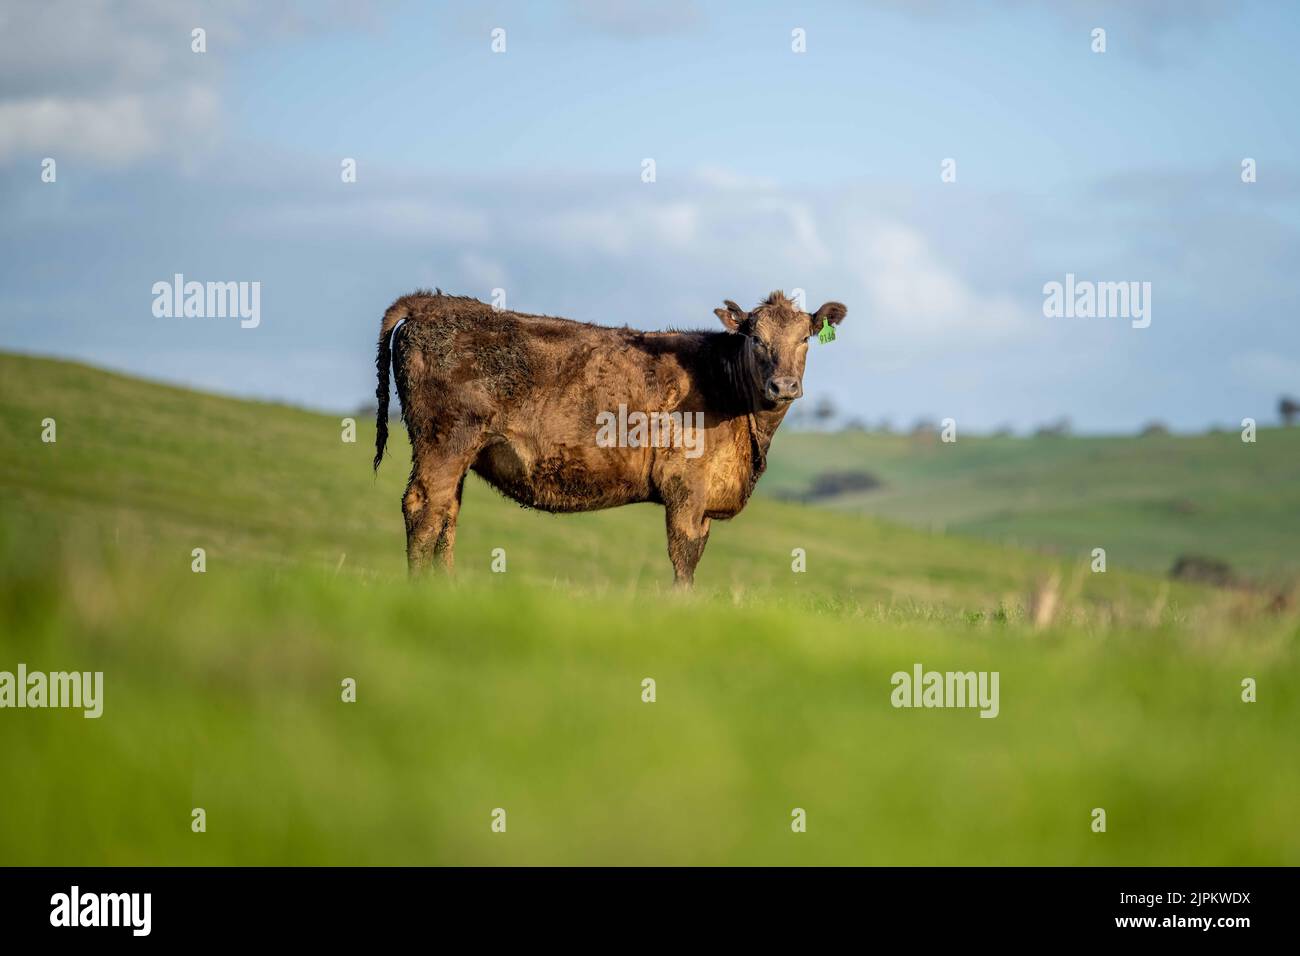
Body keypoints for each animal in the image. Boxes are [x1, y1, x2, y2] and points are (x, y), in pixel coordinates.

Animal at [373, 289, 847, 586]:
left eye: (805, 339)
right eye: (755, 339)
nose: (783, 385)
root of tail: (430, 302)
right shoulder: (685, 485)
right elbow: (684, 556)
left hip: (461, 451)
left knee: (447, 512)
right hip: (444, 440)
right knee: (424, 508)